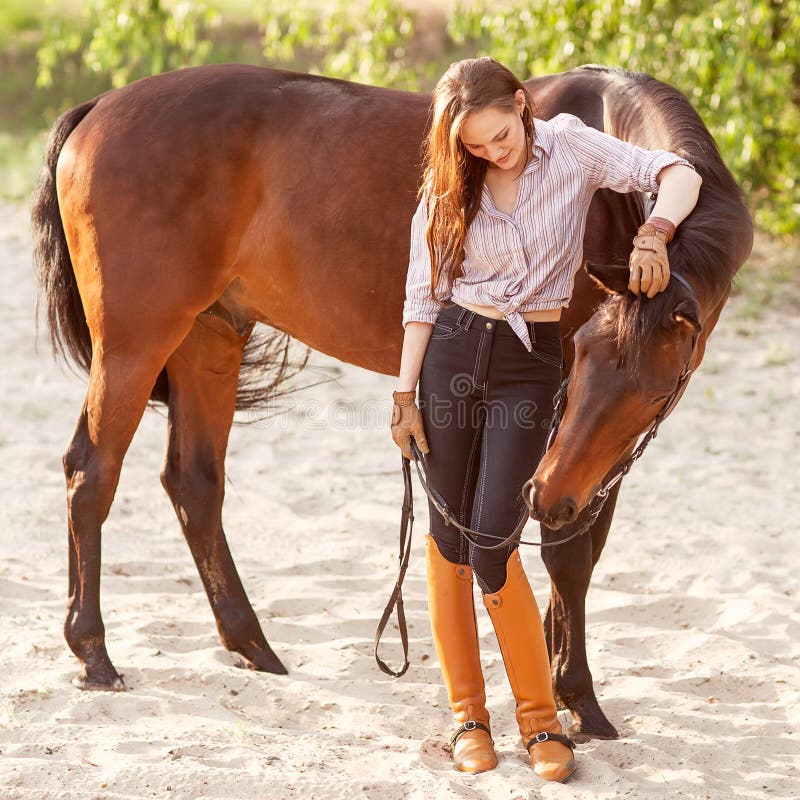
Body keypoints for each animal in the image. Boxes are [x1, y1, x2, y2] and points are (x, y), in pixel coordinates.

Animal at [31, 62, 752, 741]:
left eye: (655, 390)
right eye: (580, 359)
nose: (547, 495)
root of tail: (99, 108)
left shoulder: (597, 453)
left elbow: (583, 545)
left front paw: (560, 675)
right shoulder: (560, 422)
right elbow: (566, 552)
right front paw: (578, 696)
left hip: (209, 335)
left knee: (195, 483)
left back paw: (252, 645)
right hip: (136, 346)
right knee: (91, 474)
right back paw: (94, 653)